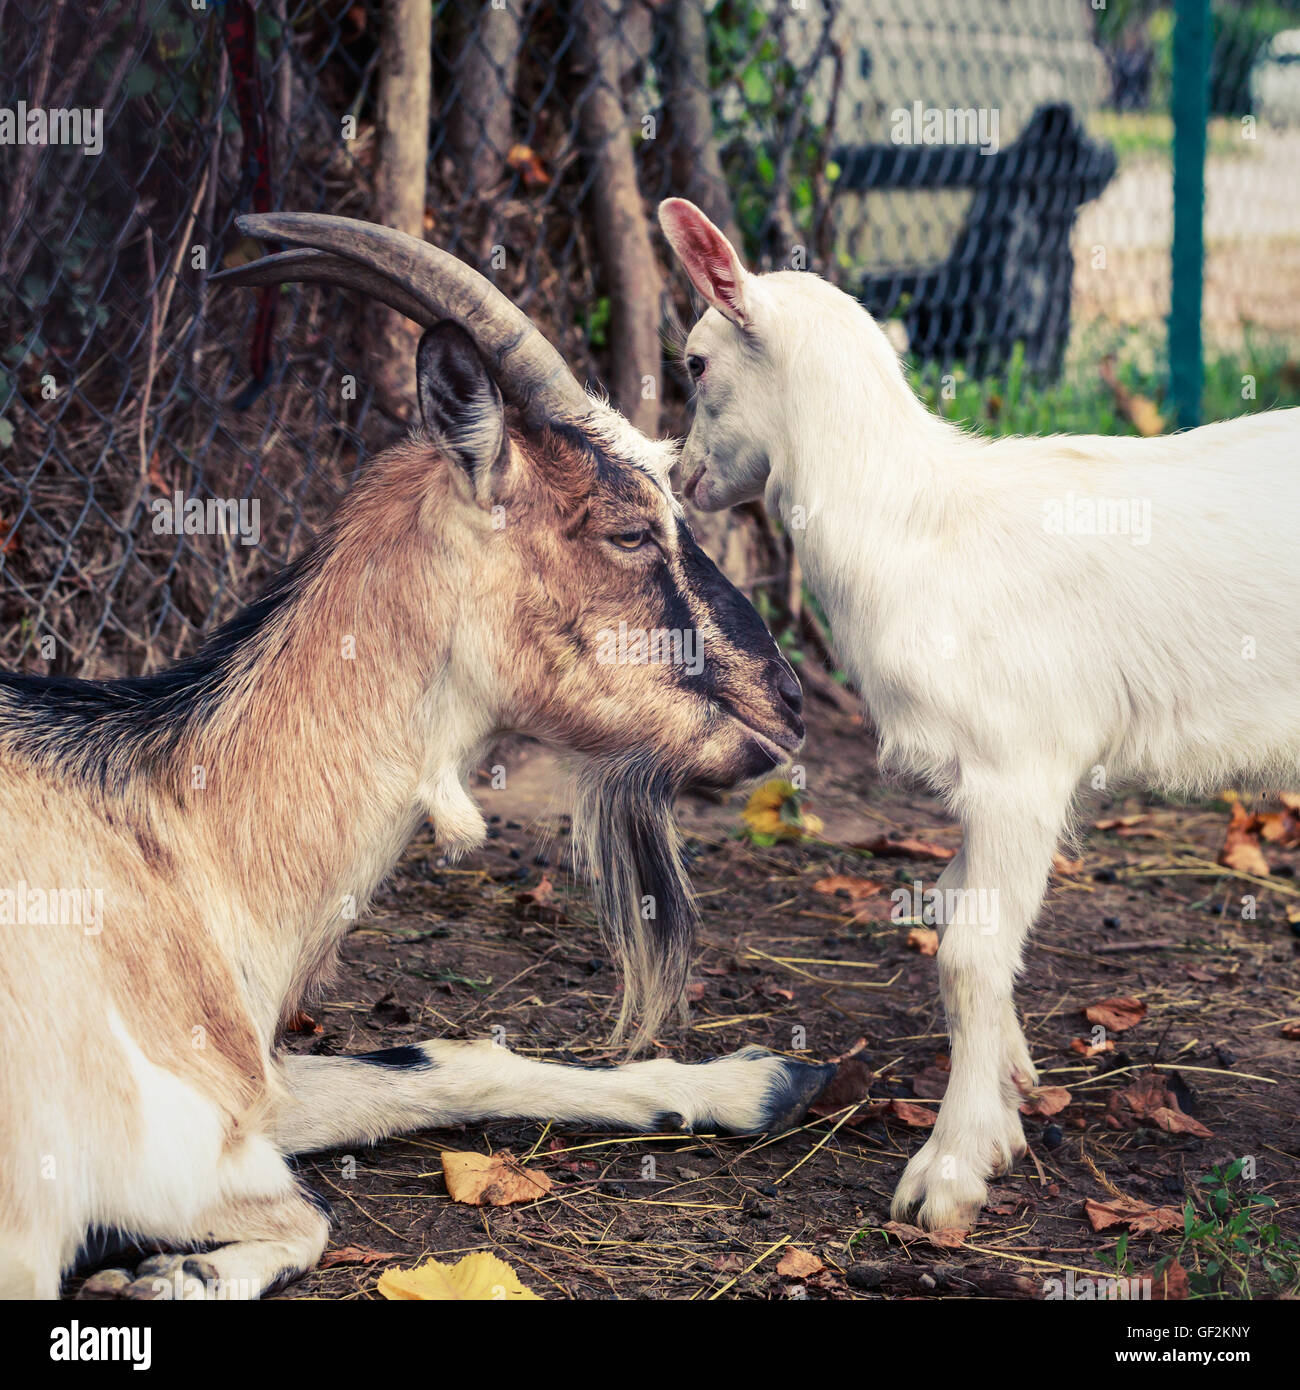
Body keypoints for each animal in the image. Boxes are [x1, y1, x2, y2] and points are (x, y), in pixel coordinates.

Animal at [0, 213, 832, 1300]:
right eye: (628, 530)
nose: (789, 700)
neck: (180, 846)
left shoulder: (257, 1087)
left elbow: (442, 1059)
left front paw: (763, 1077)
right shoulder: (132, 1156)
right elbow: (303, 1214)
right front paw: (171, 1275)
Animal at [659, 196, 1300, 1231]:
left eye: (696, 363)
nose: (684, 479)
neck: (922, 527)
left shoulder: (1020, 763)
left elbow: (968, 952)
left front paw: (950, 1171)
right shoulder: (976, 777)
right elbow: (958, 921)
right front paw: (1002, 1106)